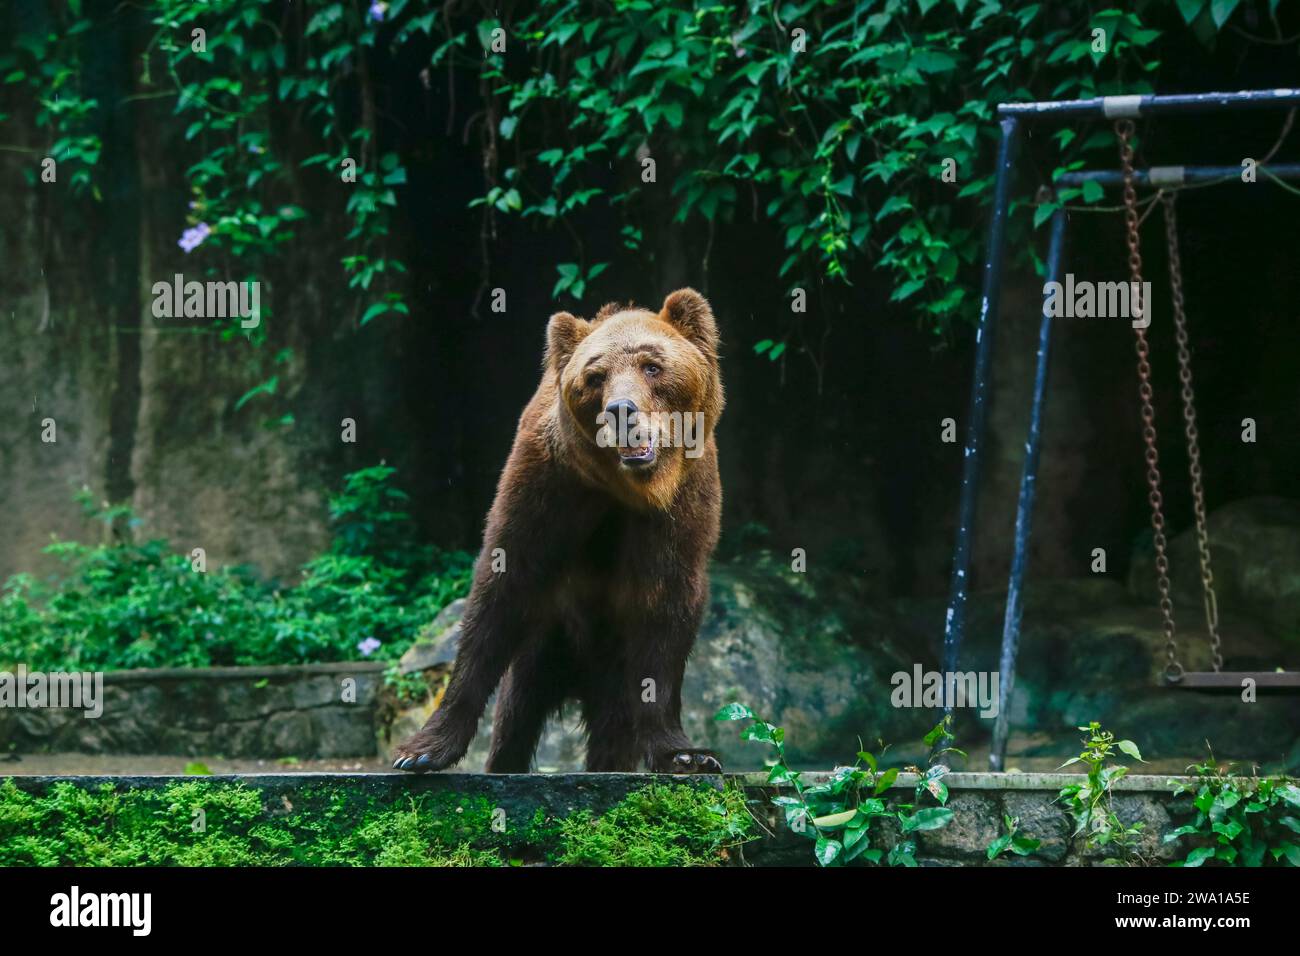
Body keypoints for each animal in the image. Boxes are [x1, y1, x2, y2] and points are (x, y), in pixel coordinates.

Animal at [393, 288, 724, 774]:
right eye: (595, 376)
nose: (621, 411)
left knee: (611, 729)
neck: (625, 489)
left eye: (653, 365)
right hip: (548, 640)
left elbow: (665, 610)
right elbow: (499, 589)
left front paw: (685, 753)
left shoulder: (682, 505)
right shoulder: (549, 483)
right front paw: (423, 750)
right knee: (518, 711)